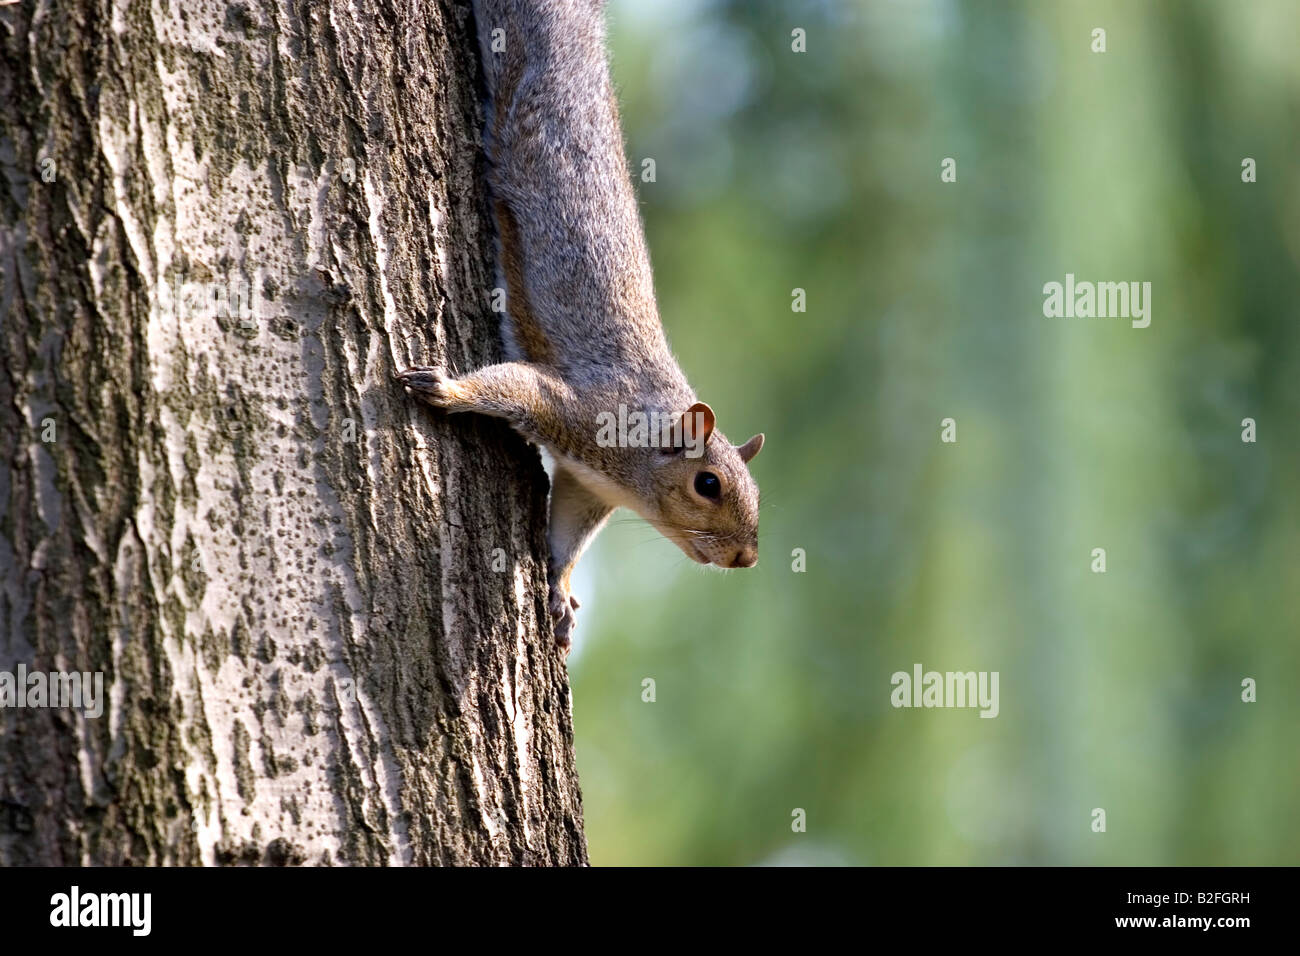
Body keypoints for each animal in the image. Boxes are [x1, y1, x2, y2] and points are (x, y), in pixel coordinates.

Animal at [398, 0, 765, 650]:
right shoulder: (580, 409)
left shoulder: (586, 486)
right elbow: (516, 388)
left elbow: (566, 531)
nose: (745, 557)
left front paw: (561, 589)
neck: (635, 466)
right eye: (709, 484)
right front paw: (450, 389)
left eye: (759, 493)